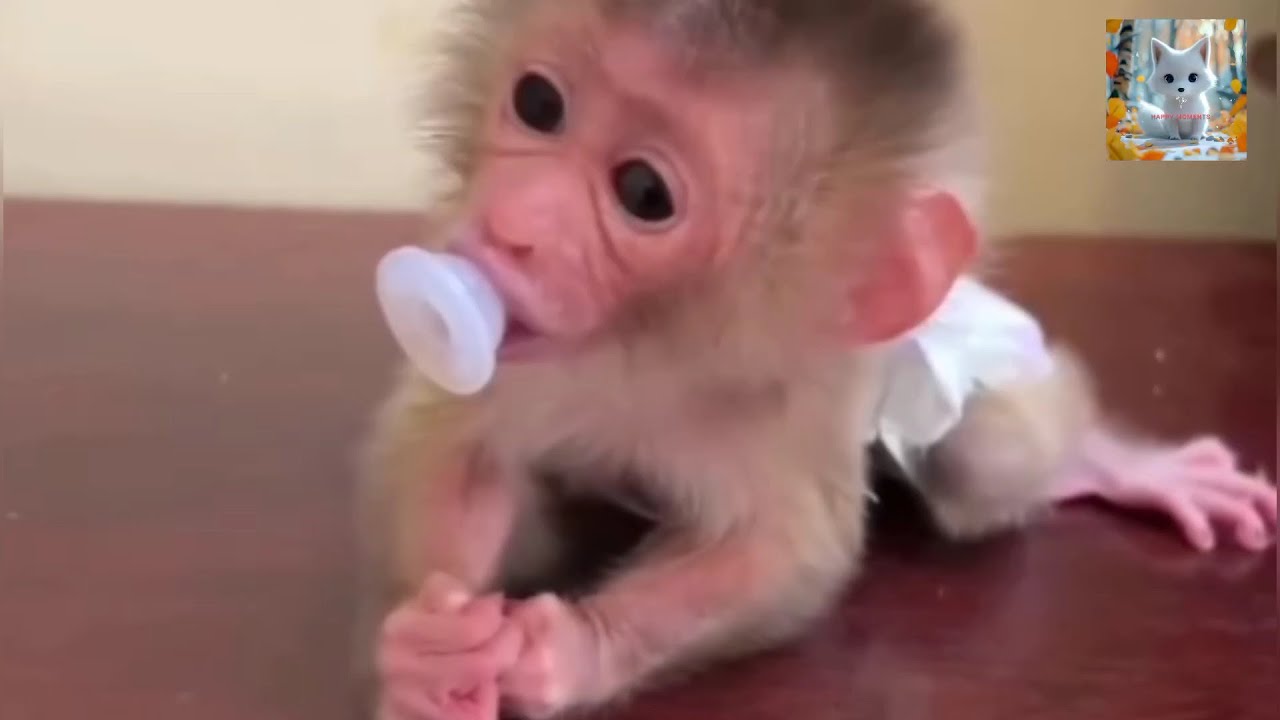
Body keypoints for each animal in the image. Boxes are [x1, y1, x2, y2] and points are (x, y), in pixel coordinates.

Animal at [354, 2, 1279, 719]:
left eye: (644, 194)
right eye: (538, 103)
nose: (510, 223)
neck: (645, 349)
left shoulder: (791, 411)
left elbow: (787, 554)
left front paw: (568, 651)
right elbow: (456, 442)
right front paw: (434, 649)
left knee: (996, 456)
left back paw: (1115, 464)